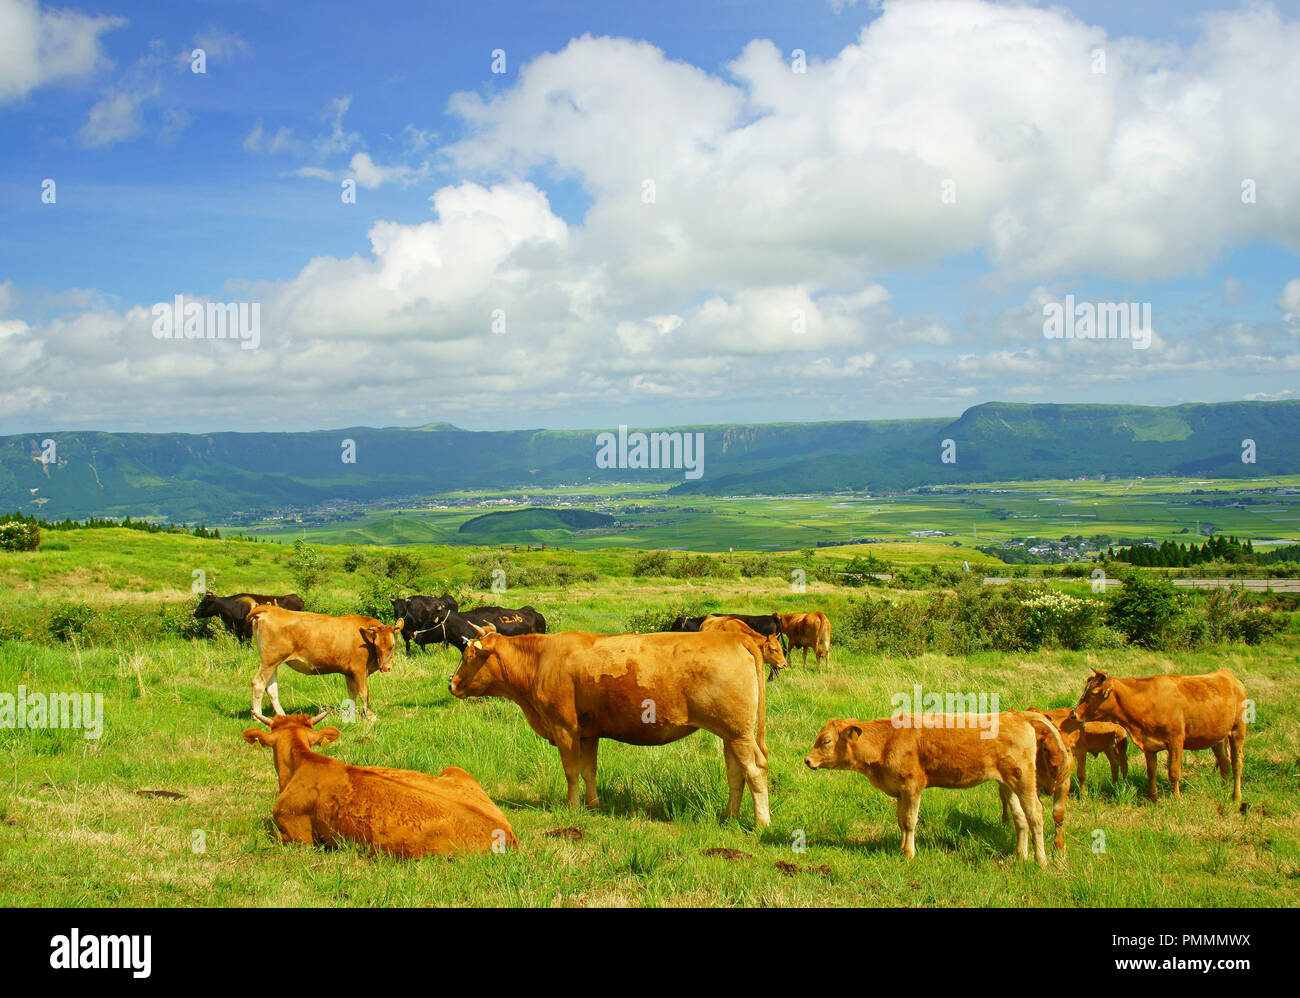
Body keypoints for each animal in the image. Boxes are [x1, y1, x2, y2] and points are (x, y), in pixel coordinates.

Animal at [246, 604, 404, 720]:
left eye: (392, 645)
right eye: (376, 645)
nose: (386, 668)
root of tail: (269, 609)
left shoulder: (349, 672)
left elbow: (352, 693)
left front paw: (351, 714)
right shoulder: (358, 669)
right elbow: (363, 692)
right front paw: (370, 716)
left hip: (273, 663)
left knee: (271, 688)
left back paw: (281, 715)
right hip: (269, 661)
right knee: (258, 684)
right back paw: (258, 717)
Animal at [449, 625, 771, 826]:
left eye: (469, 655)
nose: (451, 683)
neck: (540, 661)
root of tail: (736, 639)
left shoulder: (564, 728)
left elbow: (572, 772)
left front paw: (572, 807)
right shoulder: (589, 733)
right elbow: (589, 771)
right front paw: (593, 805)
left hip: (739, 734)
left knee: (754, 771)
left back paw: (761, 823)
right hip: (731, 734)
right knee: (736, 773)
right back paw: (729, 816)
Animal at [804, 714, 1048, 865]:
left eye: (826, 741)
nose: (807, 760)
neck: (887, 742)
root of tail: (1016, 716)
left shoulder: (913, 787)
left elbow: (910, 821)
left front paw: (910, 853)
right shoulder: (900, 791)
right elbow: (901, 821)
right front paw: (901, 848)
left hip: (1025, 781)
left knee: (1035, 814)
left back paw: (1041, 861)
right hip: (1008, 784)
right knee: (1020, 818)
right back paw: (1021, 856)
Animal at [1073, 668, 1247, 803]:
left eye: (1094, 692)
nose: (1074, 714)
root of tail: (1229, 676)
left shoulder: (1176, 739)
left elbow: (1174, 772)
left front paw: (1177, 799)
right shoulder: (1148, 744)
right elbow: (1151, 772)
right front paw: (1152, 798)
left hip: (1238, 729)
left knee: (1237, 763)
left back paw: (1236, 796)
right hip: (1217, 737)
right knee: (1224, 763)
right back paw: (1223, 790)